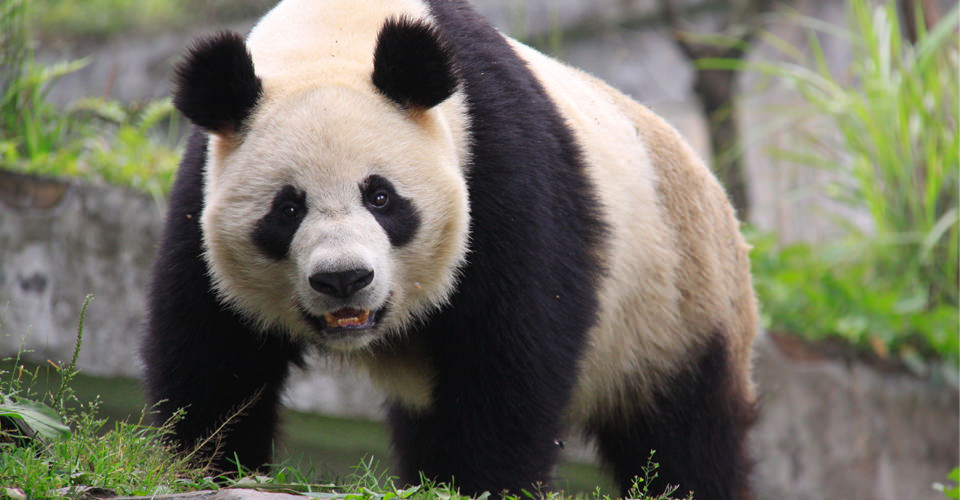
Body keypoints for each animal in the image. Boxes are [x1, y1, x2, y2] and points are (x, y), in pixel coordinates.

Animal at [142, 0, 759, 499]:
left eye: (381, 197)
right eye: (287, 209)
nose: (343, 279)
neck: (333, 38)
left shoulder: (501, 163)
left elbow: (513, 348)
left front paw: (485, 481)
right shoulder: (204, 188)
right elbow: (214, 346)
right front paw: (211, 463)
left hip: (675, 303)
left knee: (684, 435)